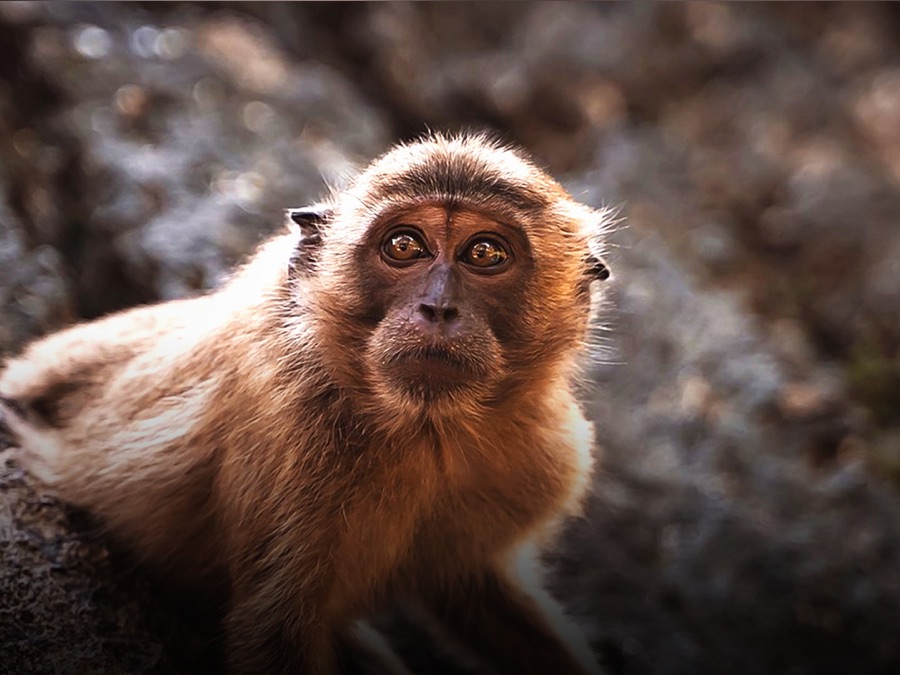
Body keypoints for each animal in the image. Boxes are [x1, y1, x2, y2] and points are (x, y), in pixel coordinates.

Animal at [0, 132, 613, 675]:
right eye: (404, 246)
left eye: (485, 253)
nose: (438, 308)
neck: (425, 430)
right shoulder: (299, 425)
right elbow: (273, 632)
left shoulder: (537, 452)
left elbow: (475, 590)